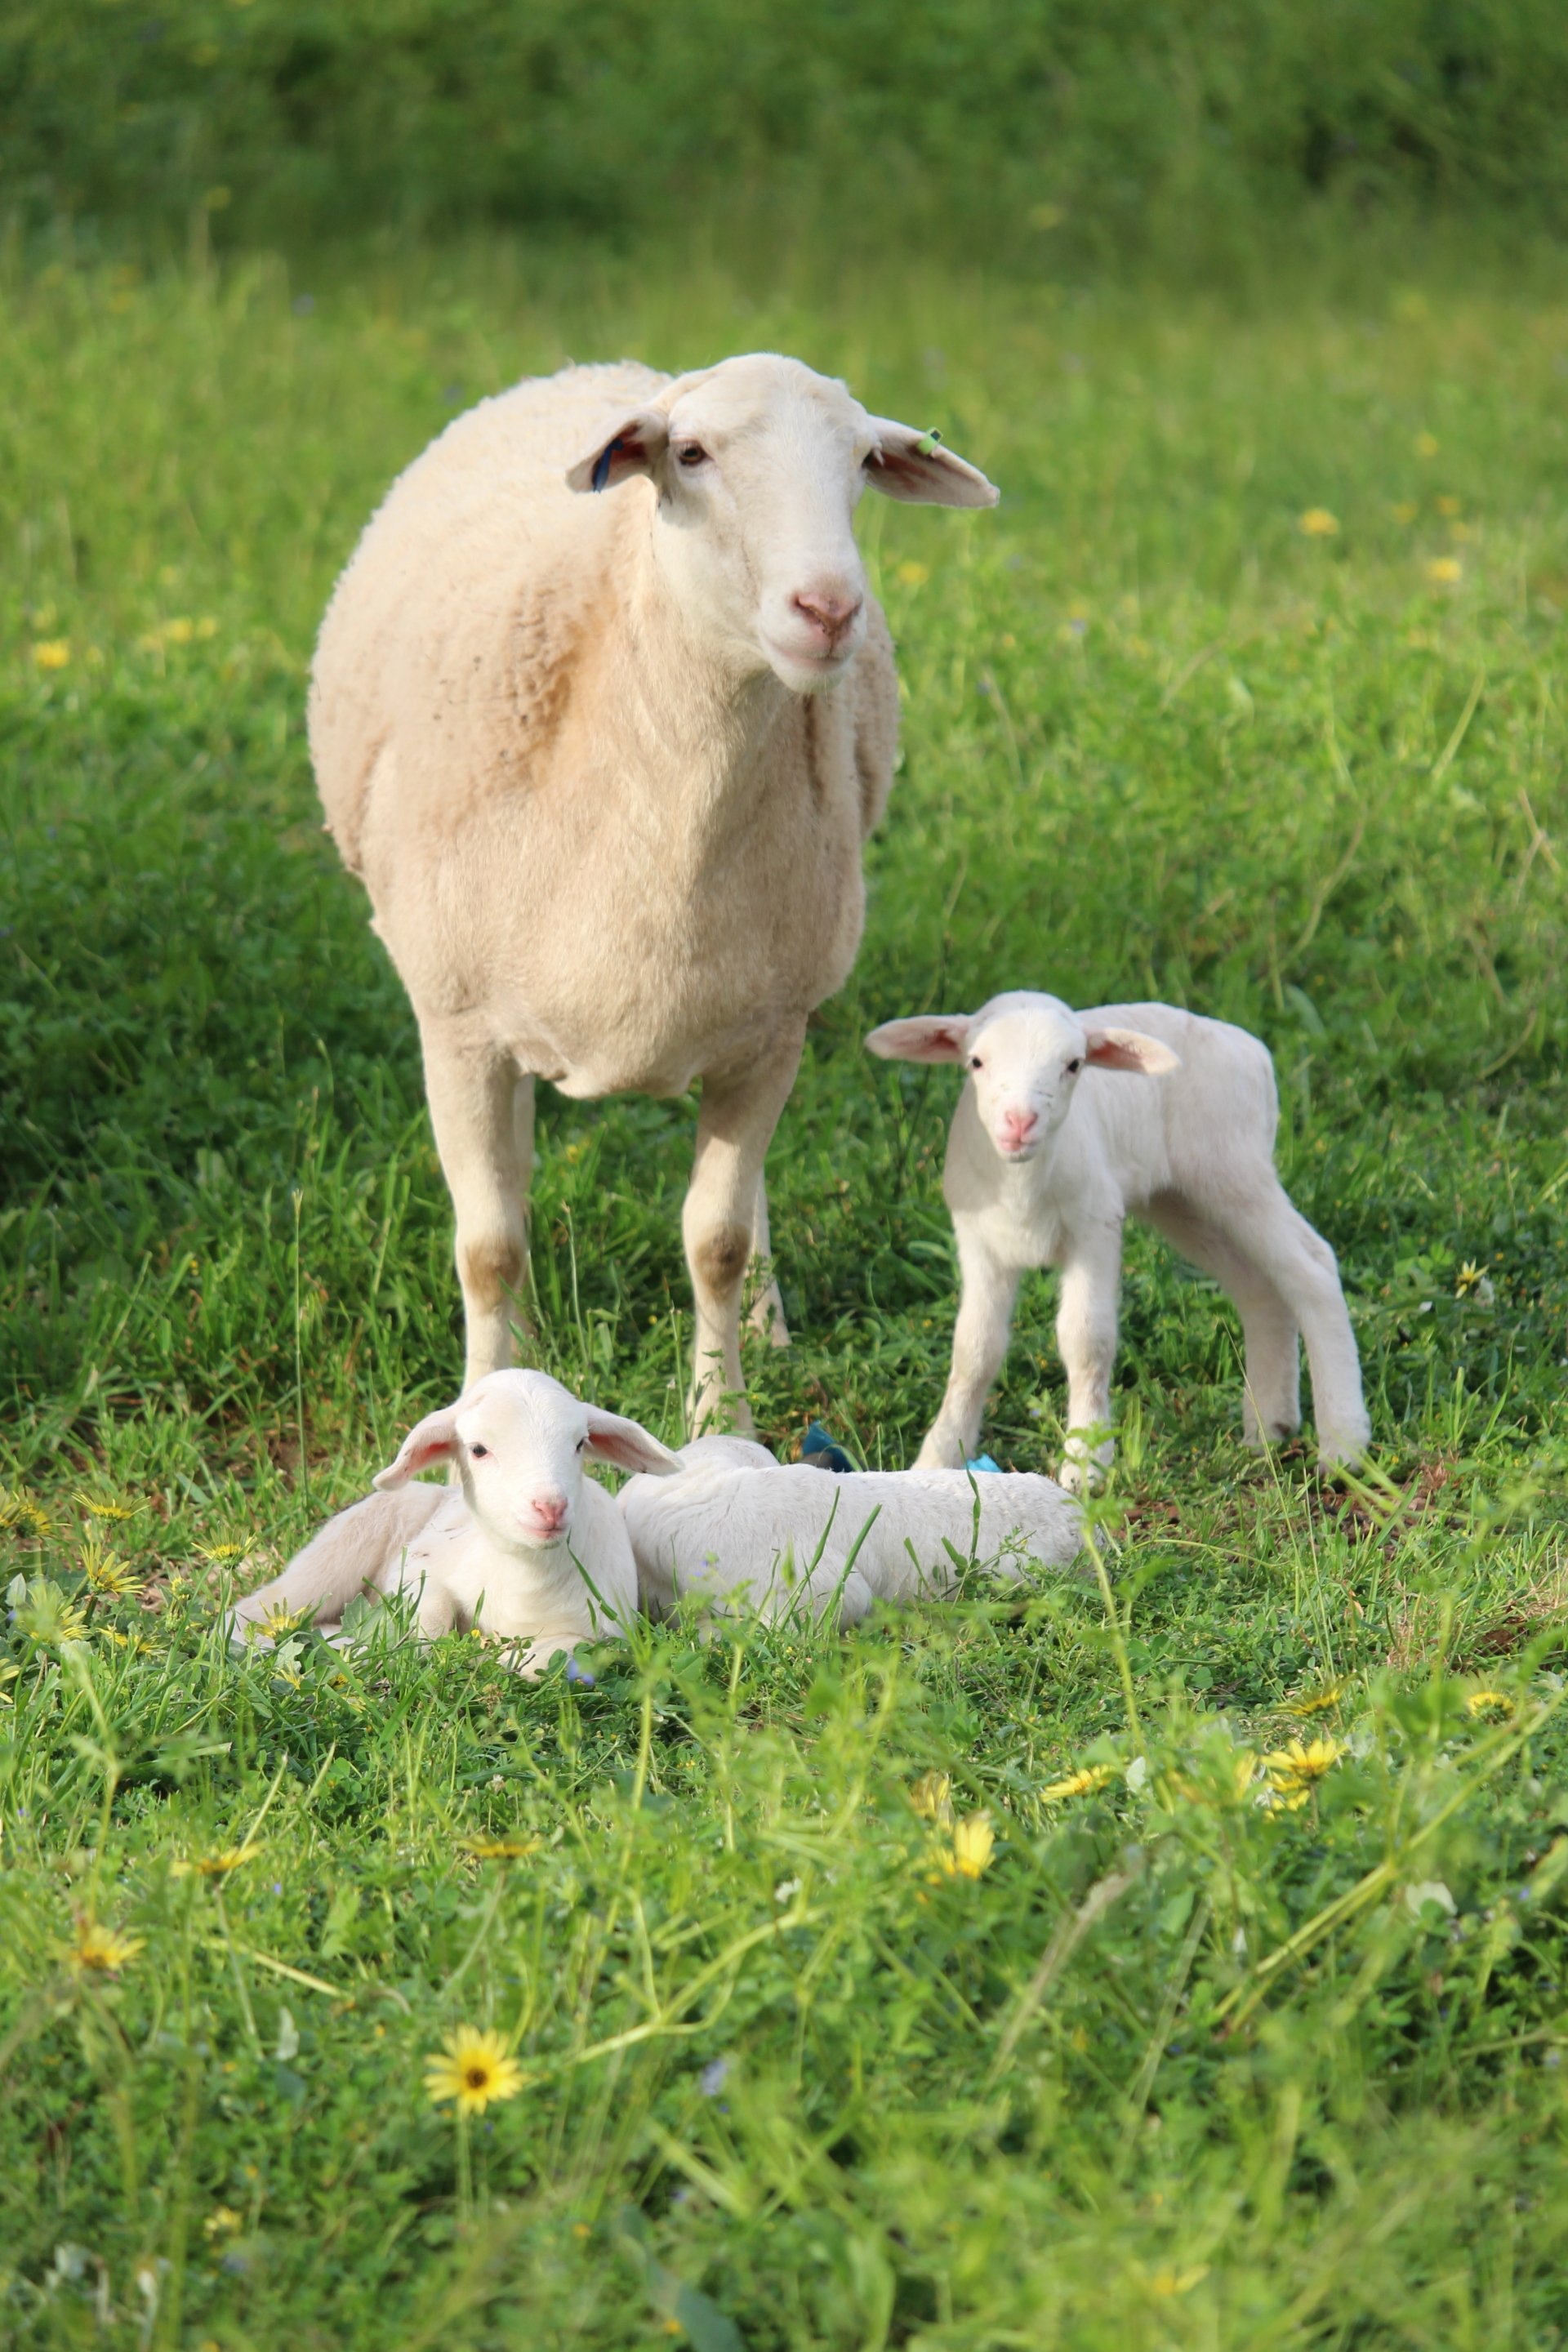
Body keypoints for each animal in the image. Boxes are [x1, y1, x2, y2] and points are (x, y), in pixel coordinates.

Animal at [228, 1371, 680, 1675]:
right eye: (478, 1449)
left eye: (581, 1444)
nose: (550, 1507)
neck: (525, 1576)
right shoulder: (421, 1567)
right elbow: (429, 1623)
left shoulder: (607, 1630)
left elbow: (542, 1659)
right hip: (336, 1555)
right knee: (251, 1611)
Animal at [309, 354, 998, 1434]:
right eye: (692, 454)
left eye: (862, 461)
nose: (829, 610)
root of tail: (603, 367)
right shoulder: (456, 1025)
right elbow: (488, 1246)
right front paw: (483, 1403)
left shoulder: (770, 1030)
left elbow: (716, 1238)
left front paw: (725, 1420)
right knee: (512, 1180)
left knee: (740, 1200)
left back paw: (766, 1323)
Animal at [866, 991, 1370, 1488]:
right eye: (975, 1061)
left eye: (1074, 1065)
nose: (1019, 1122)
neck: (1022, 1187)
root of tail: (1253, 1050)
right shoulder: (979, 1243)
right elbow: (974, 1350)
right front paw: (937, 1457)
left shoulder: (1096, 1226)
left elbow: (1086, 1339)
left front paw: (1085, 1463)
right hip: (1182, 1200)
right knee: (1260, 1289)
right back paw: (1268, 1429)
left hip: (1235, 1165)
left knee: (1312, 1266)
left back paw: (1344, 1445)